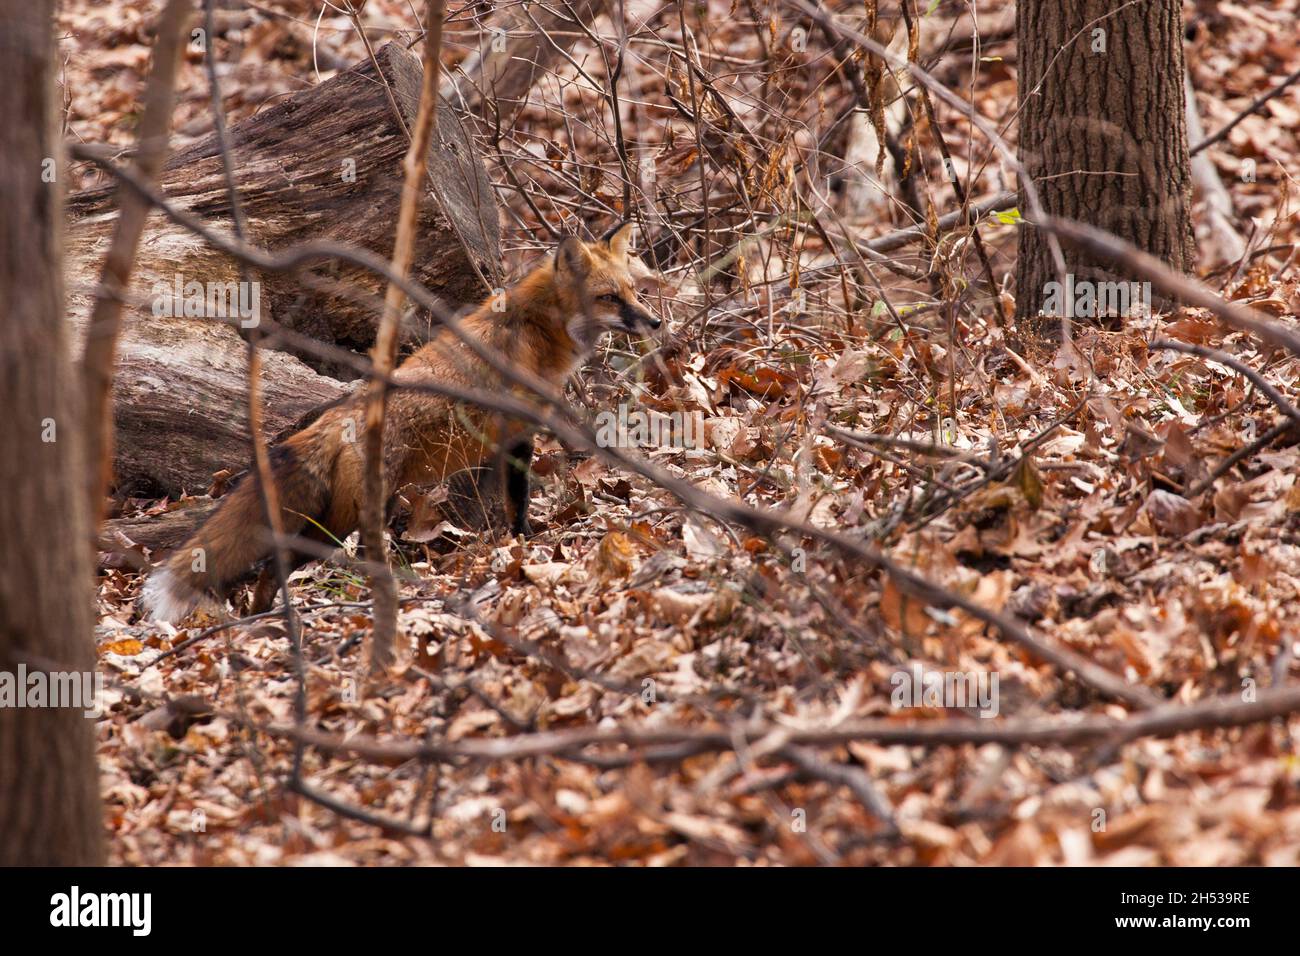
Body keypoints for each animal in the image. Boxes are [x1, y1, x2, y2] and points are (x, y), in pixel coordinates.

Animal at [139, 223, 661, 623]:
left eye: (634, 291)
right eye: (609, 297)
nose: (655, 322)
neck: (537, 329)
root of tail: (336, 417)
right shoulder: (518, 432)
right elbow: (517, 502)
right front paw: (525, 542)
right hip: (342, 521)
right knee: (276, 563)